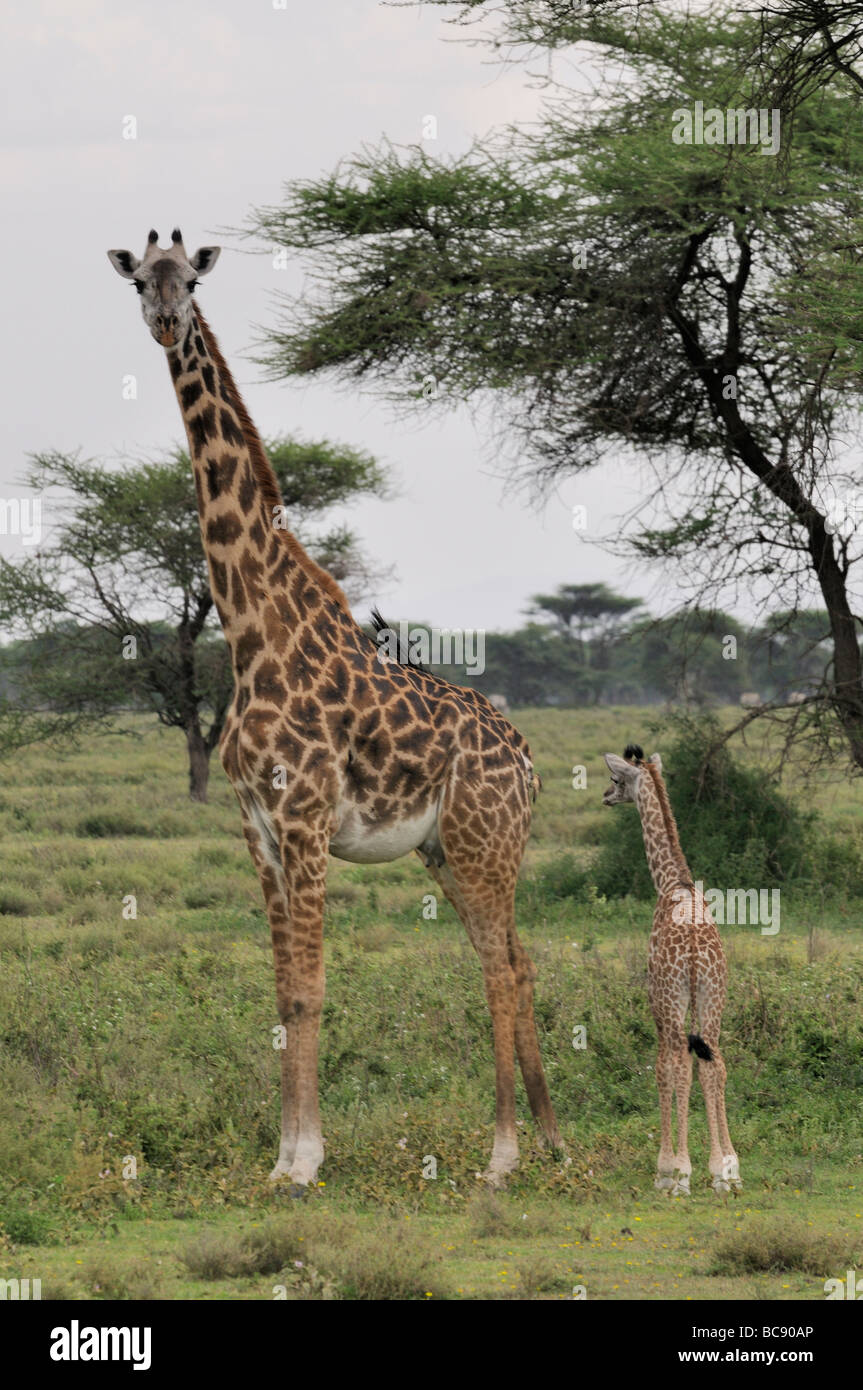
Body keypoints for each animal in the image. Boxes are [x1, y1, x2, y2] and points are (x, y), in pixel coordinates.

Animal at [107, 230, 562, 1187]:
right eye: (138, 280)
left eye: (190, 279)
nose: (164, 322)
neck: (251, 629)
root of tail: (529, 759)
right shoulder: (256, 824)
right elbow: (283, 990)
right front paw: (282, 1155)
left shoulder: (307, 816)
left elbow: (313, 989)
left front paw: (307, 1160)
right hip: (445, 851)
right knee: (513, 958)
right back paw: (547, 1137)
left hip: (484, 840)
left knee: (502, 968)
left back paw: (502, 1155)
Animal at [602, 744, 740, 1196]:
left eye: (616, 779)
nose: (605, 797)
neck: (671, 882)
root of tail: (695, 954)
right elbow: (704, 1067)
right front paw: (719, 1167)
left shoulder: (656, 999)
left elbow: (664, 1068)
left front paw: (669, 1168)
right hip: (715, 996)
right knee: (715, 1064)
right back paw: (726, 1169)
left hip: (672, 996)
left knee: (678, 1063)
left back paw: (678, 1171)